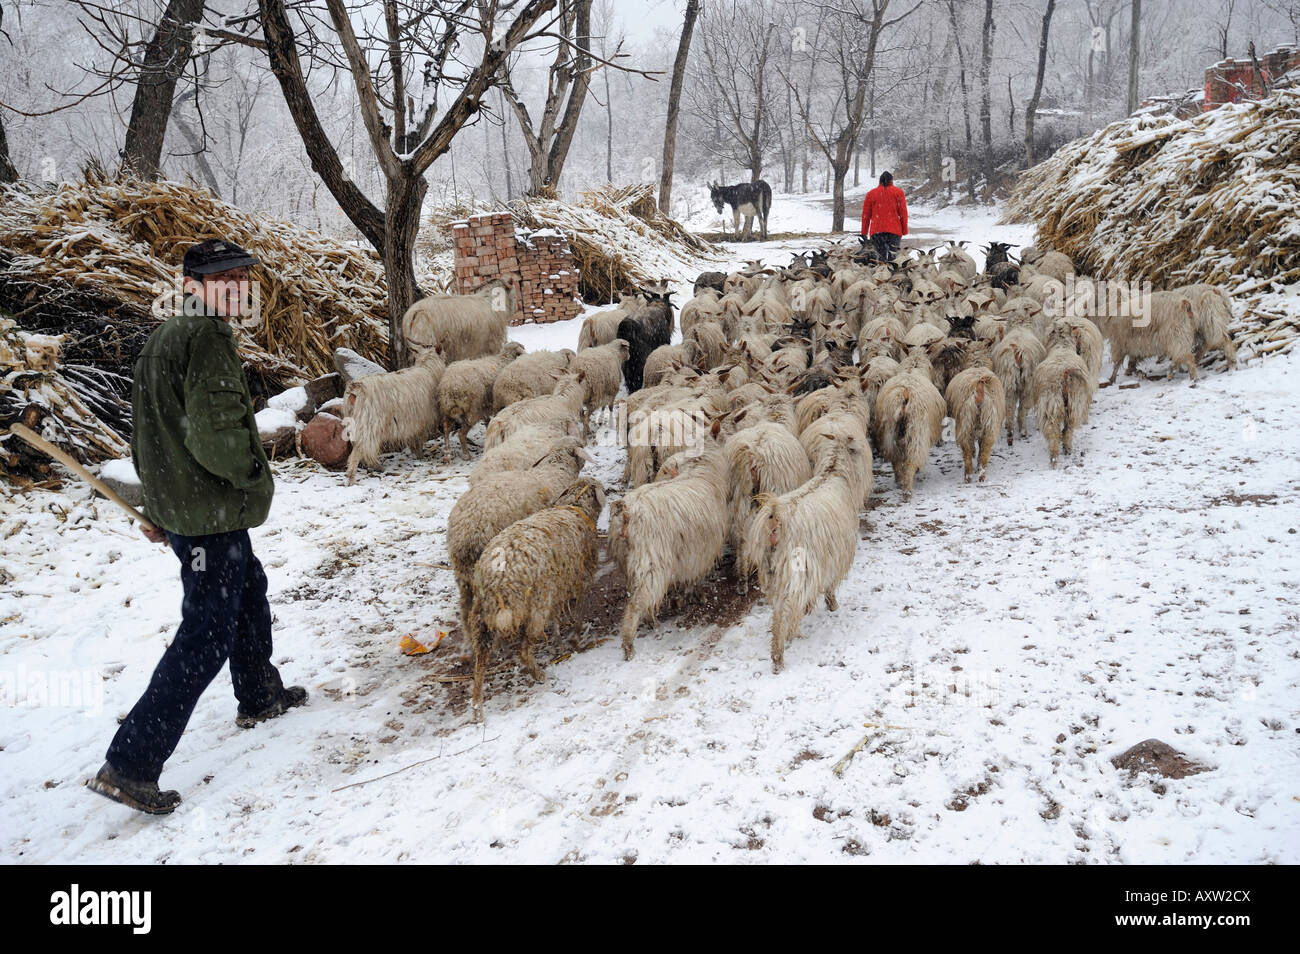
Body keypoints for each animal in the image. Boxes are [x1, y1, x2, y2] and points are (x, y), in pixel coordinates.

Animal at [342, 345, 446, 484]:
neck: (429, 369)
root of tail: (355, 389)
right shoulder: (419, 422)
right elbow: (417, 442)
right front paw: (421, 457)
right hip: (369, 424)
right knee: (362, 449)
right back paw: (360, 473)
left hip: (355, 422)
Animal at [466, 477, 605, 721]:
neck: (575, 508)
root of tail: (497, 575)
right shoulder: (579, 579)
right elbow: (578, 612)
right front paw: (576, 638)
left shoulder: (556, 587)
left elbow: (556, 619)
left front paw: (559, 641)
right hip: (534, 605)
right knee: (523, 650)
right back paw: (539, 674)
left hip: (483, 615)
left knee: (480, 662)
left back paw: (477, 710)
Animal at [608, 426, 730, 660]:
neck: (701, 467)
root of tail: (626, 511)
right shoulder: (699, 550)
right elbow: (693, 578)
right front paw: (693, 596)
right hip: (652, 562)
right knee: (637, 602)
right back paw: (629, 644)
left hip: (626, 560)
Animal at [741, 438, 867, 672]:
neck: (833, 472)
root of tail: (775, 516)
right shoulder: (831, 558)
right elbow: (829, 586)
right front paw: (832, 606)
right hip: (793, 571)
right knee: (785, 611)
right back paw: (779, 656)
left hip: (773, 573)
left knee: (777, 612)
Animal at [871, 368, 946, 499]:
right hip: (916, 433)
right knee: (911, 461)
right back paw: (907, 491)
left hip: (889, 433)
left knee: (895, 459)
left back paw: (899, 481)